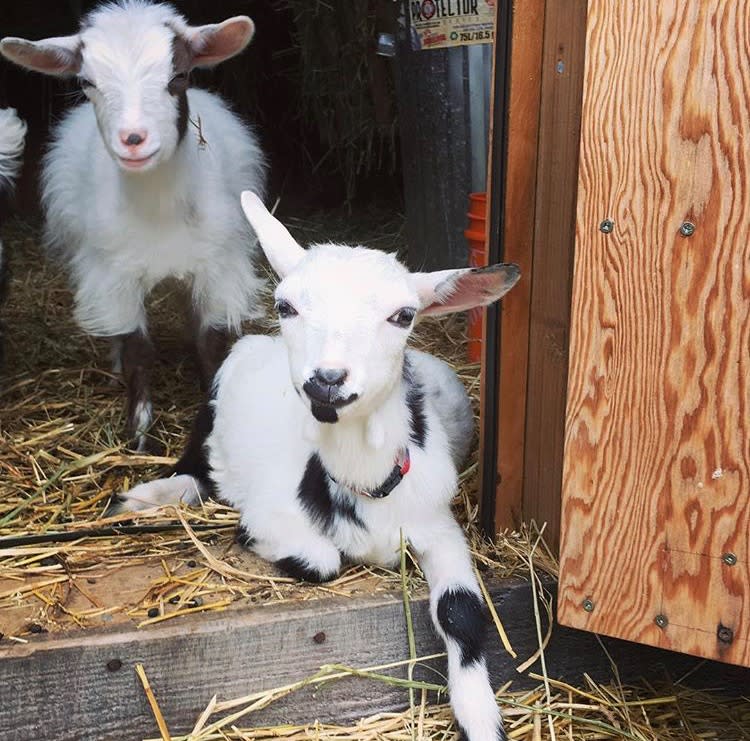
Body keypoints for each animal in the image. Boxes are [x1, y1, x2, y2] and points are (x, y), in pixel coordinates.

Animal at [0, 0, 266, 449]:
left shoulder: (218, 268)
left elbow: (210, 344)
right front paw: (140, 436)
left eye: (179, 76)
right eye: (86, 82)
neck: (158, 207)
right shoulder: (114, 277)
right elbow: (137, 350)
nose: (133, 139)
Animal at [115, 192, 521, 740]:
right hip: (220, 390)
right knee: (197, 463)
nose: (327, 380)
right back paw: (149, 495)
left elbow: (463, 610)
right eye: (285, 306)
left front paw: (482, 720)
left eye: (404, 315)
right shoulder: (270, 514)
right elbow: (321, 560)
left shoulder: (439, 526)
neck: (366, 485)